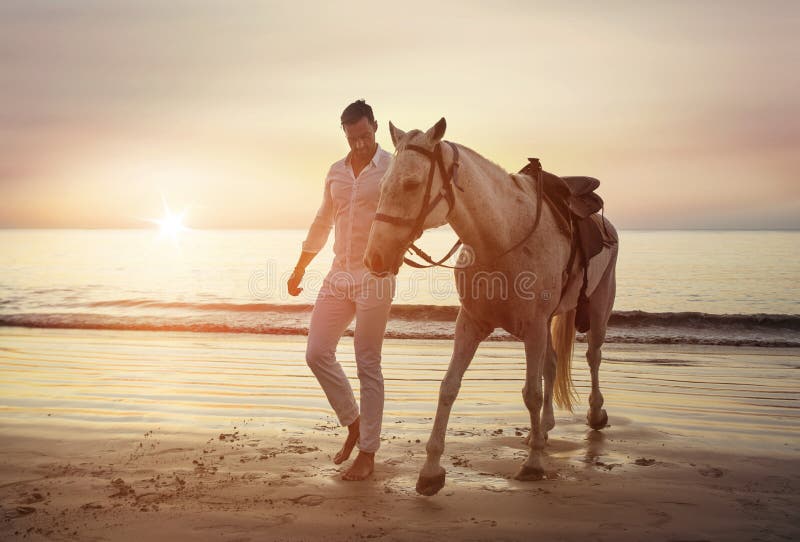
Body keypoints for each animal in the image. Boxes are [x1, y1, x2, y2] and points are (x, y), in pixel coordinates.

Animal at [364, 118, 619, 496]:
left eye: (411, 184)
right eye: (382, 185)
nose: (374, 257)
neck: (501, 238)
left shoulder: (533, 328)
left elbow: (531, 393)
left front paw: (533, 464)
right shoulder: (471, 323)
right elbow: (449, 387)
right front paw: (430, 471)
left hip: (599, 306)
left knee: (593, 356)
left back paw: (595, 414)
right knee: (551, 365)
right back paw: (544, 429)